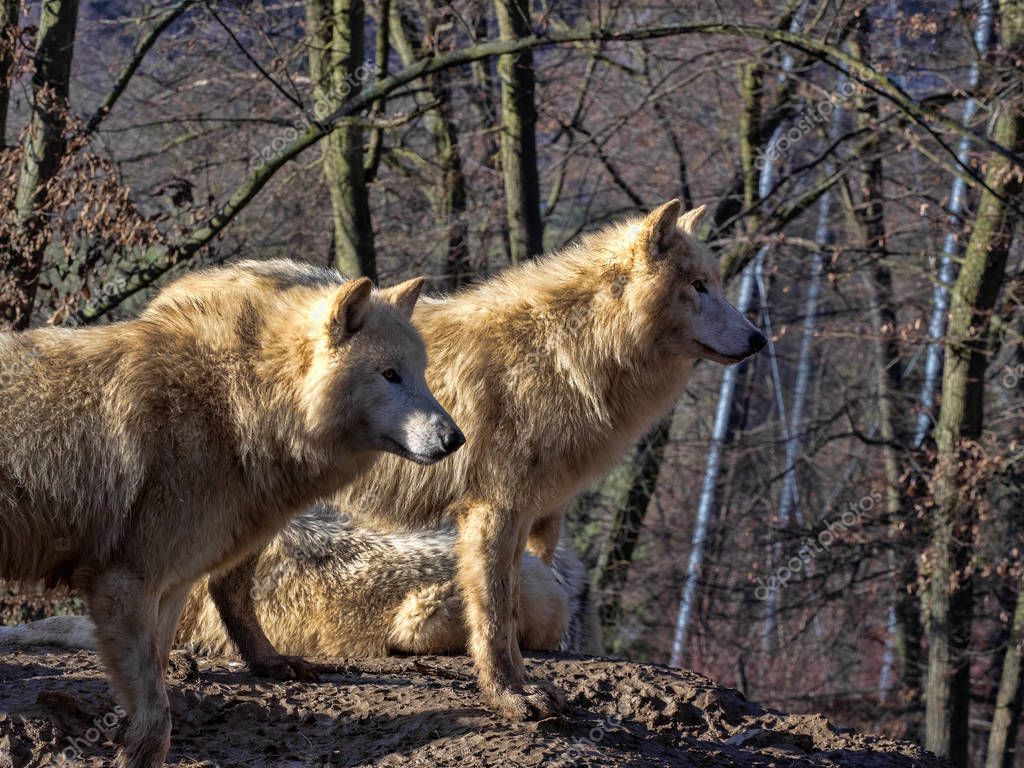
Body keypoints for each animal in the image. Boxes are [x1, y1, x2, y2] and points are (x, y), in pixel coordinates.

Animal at [0, 259, 462, 767]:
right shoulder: (123, 581)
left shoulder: (172, 582)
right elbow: (155, 717)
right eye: (389, 374)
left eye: (420, 374)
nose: (455, 438)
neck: (236, 399)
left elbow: (158, 683)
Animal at [209, 200, 766, 721]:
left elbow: (511, 609)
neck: (562, 353)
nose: (759, 339)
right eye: (698, 286)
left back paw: (268, 664)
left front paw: (524, 686)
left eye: (717, 284)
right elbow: (496, 616)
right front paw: (509, 698)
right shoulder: (492, 508)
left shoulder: (522, 514)